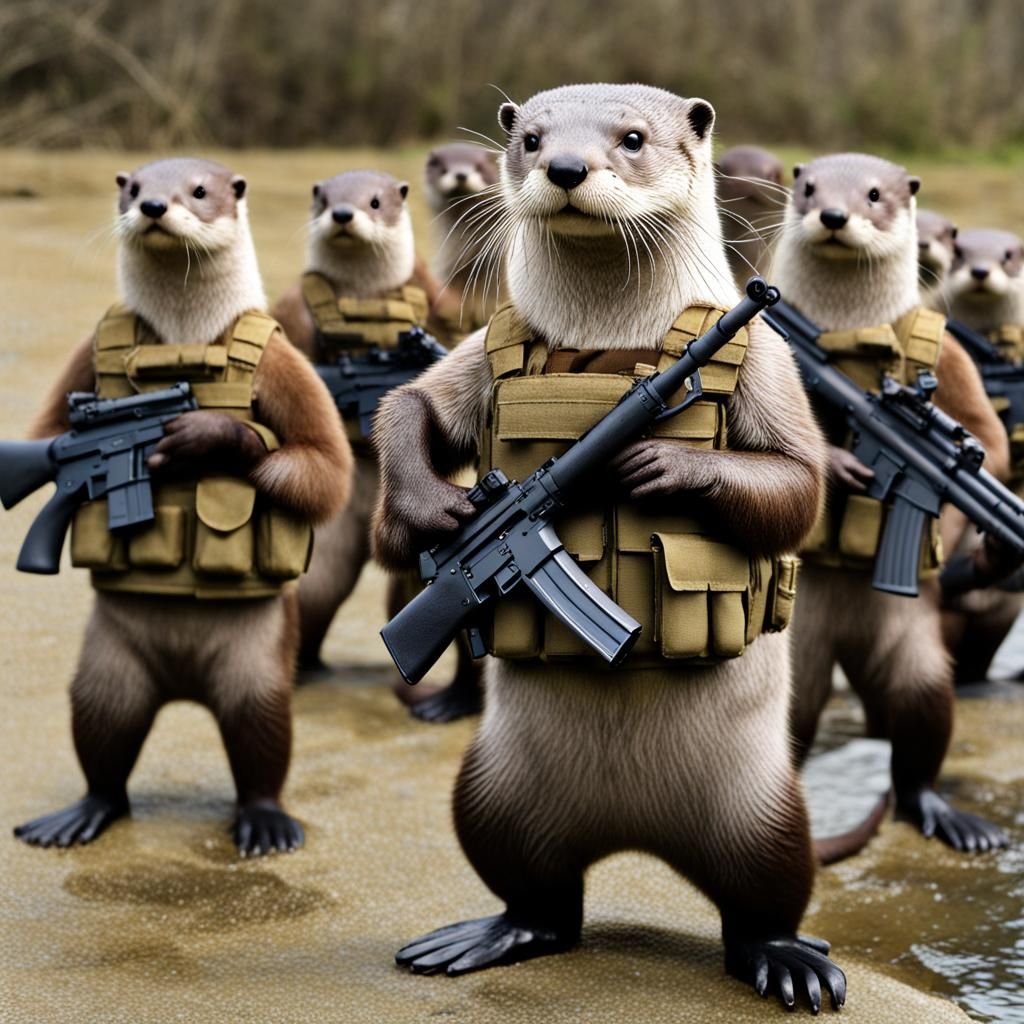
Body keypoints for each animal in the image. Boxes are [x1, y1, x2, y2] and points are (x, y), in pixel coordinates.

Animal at [14, 158, 352, 855]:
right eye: (134, 188)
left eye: (200, 190)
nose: (154, 207)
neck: (181, 342)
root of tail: (183, 684)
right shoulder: (81, 359)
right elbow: (45, 437)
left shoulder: (284, 359)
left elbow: (327, 467)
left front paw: (208, 435)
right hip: (108, 671)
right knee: (103, 742)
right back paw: (80, 815)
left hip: (258, 670)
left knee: (261, 742)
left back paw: (265, 824)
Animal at [272, 171, 482, 723]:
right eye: (325, 198)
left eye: (375, 201)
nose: (343, 214)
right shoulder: (292, 311)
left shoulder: (436, 298)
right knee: (317, 588)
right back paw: (304, 671)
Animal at [772, 153, 1010, 852]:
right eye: (808, 187)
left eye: (875, 195)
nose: (833, 214)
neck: (847, 332)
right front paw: (843, 466)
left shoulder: (954, 361)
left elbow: (988, 441)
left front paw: (986, 552)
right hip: (801, 653)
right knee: (790, 724)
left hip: (913, 649)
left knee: (920, 729)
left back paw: (943, 814)